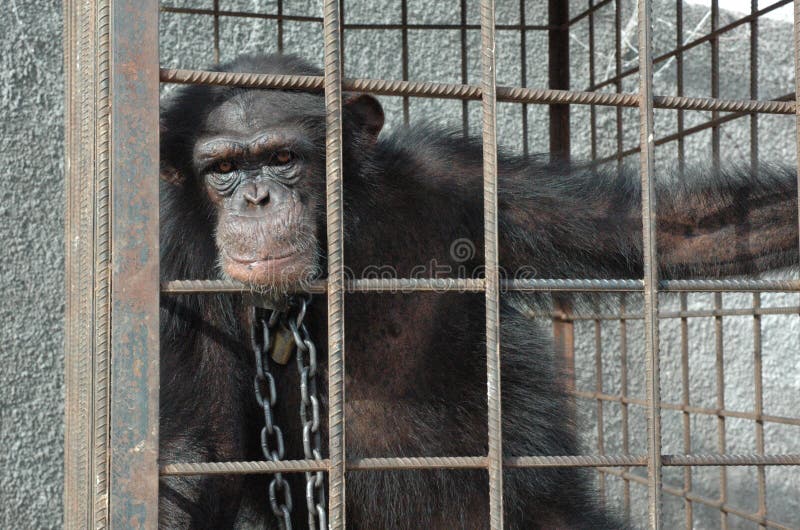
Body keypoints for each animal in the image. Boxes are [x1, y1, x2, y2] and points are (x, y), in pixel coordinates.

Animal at [157, 53, 798, 529]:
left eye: (284, 157)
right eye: (223, 169)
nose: (256, 199)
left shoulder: (461, 179)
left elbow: (670, 229)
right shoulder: (181, 260)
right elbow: (204, 455)